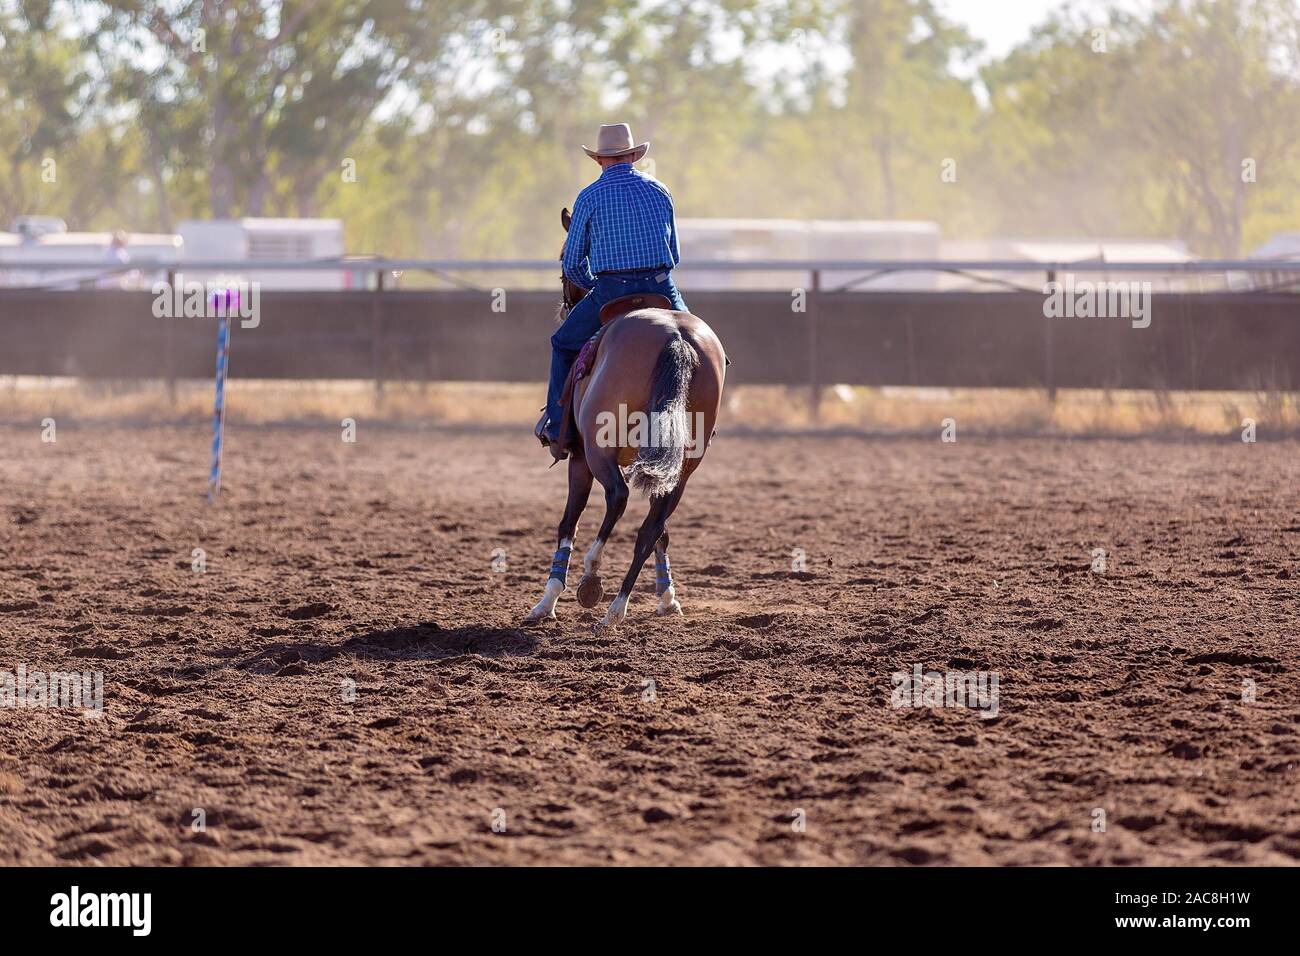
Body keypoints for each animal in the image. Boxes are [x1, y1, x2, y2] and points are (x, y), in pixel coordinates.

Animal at [524, 208, 727, 629]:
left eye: (562, 264)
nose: (565, 306)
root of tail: (676, 337)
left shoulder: (580, 459)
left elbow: (568, 522)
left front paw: (547, 601)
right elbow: (661, 533)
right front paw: (667, 598)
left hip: (599, 450)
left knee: (617, 497)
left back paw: (592, 577)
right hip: (683, 466)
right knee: (651, 528)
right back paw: (617, 607)